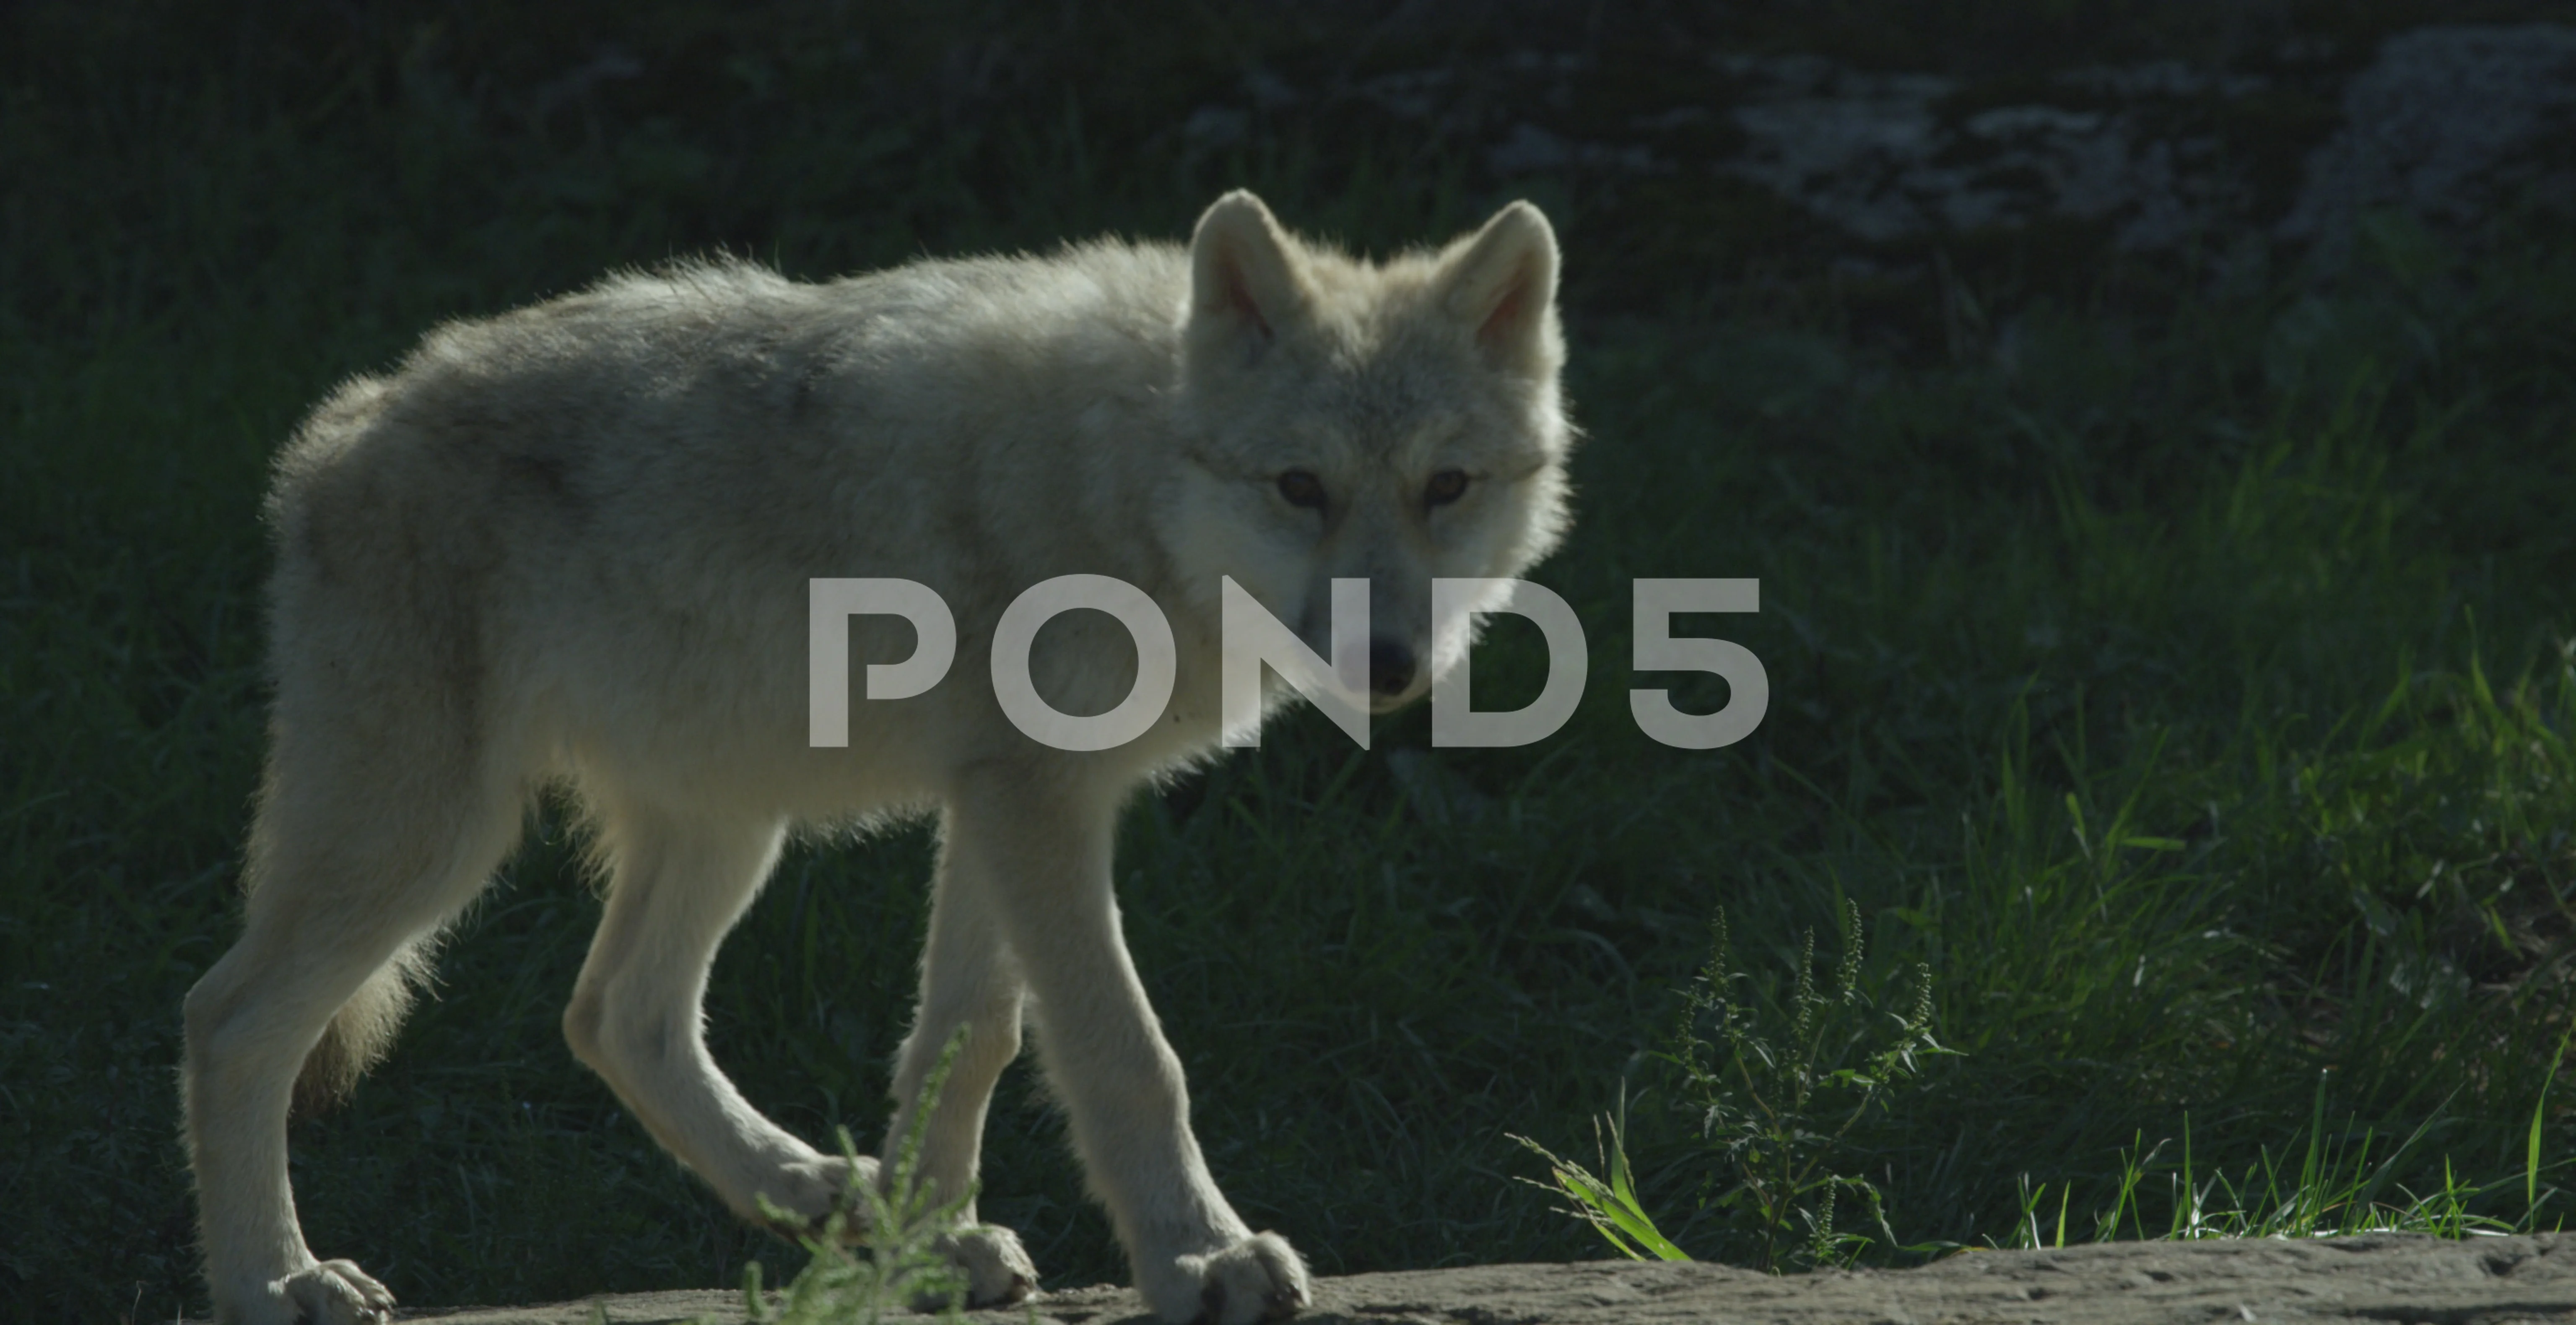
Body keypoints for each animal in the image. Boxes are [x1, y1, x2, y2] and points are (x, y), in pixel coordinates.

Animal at [180, 190, 1575, 1325]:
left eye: (1446, 487)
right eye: (1300, 486)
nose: (1387, 661)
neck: (1116, 471)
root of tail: (341, 427)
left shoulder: (1010, 802)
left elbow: (965, 1038)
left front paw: (926, 1247)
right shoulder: (1035, 804)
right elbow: (1126, 1055)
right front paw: (1200, 1260)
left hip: (726, 827)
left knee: (613, 1015)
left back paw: (810, 1191)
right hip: (436, 845)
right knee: (230, 1022)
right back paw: (275, 1282)